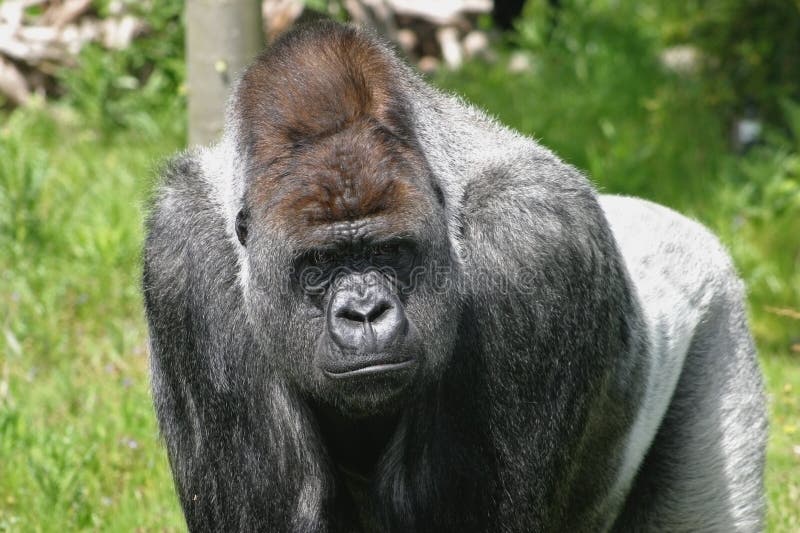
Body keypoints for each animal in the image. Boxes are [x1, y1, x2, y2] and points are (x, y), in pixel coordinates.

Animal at [142, 21, 767, 532]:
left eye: (391, 252)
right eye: (318, 266)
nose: (364, 313)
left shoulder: (531, 238)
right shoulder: (182, 255)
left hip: (719, 312)